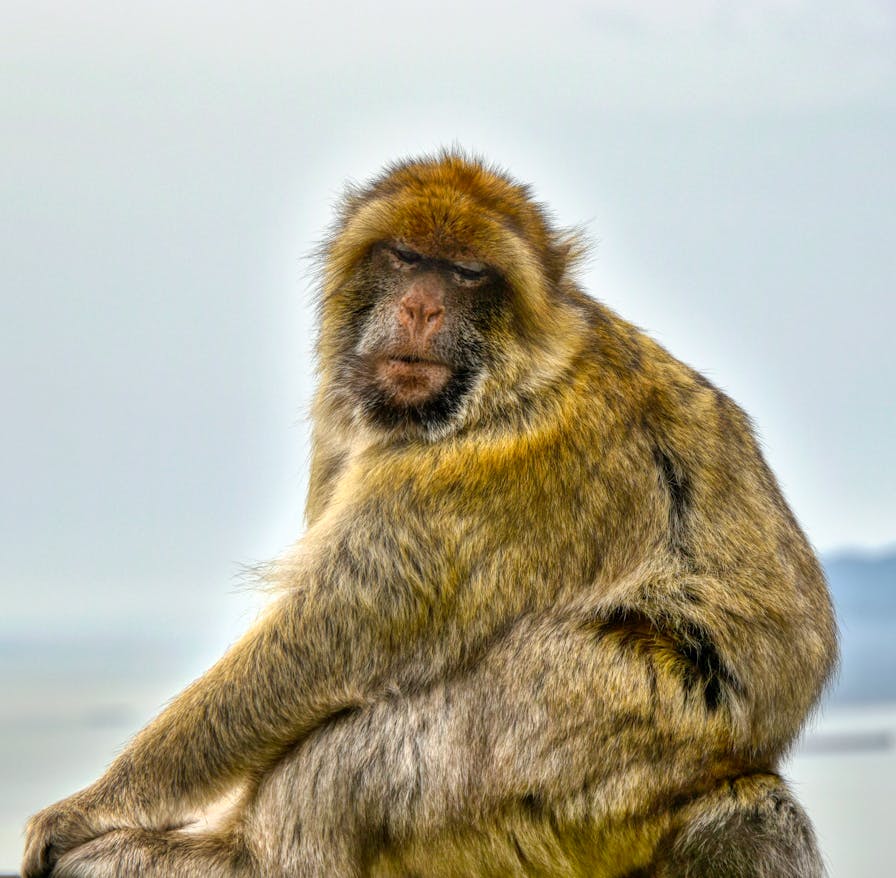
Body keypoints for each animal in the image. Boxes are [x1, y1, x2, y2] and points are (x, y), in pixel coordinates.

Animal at [23, 151, 837, 878]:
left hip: (591, 743)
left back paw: (254, 859)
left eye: (467, 273)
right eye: (408, 256)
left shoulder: (481, 475)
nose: (420, 306)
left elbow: (316, 650)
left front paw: (88, 810)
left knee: (372, 736)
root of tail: (734, 767)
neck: (511, 378)